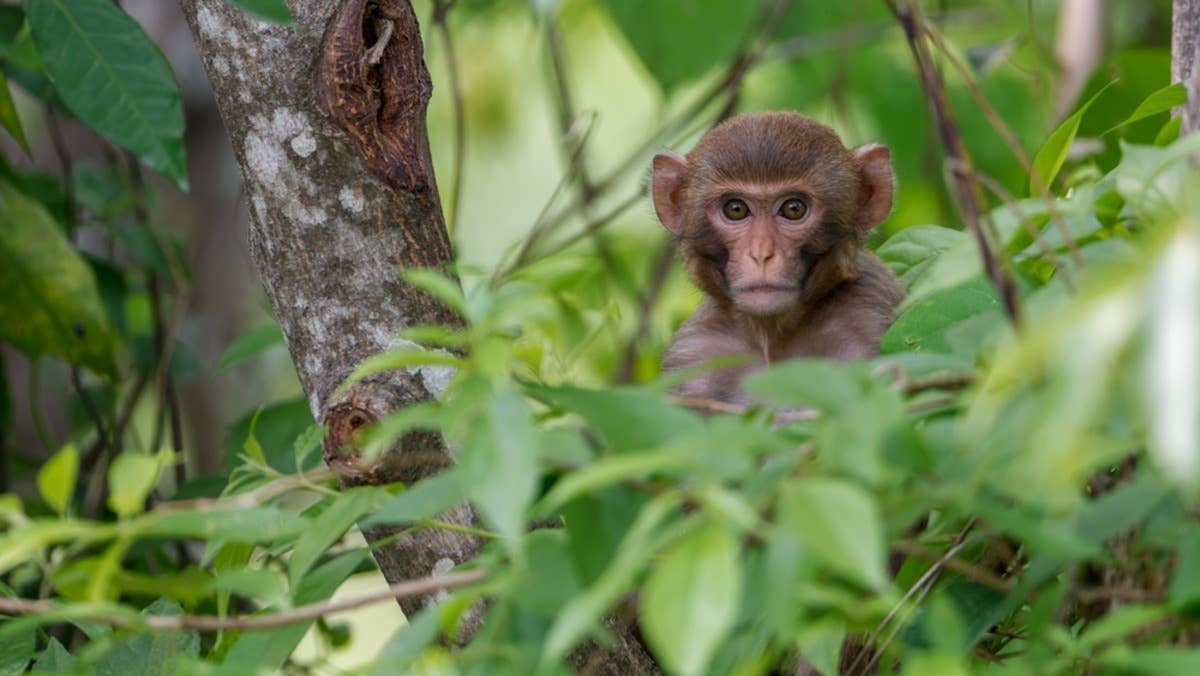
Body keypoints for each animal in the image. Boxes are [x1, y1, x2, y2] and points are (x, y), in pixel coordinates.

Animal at [653, 112, 904, 405]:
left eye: (793, 208)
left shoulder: (867, 316)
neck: (770, 335)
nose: (761, 254)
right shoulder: (694, 354)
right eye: (736, 209)